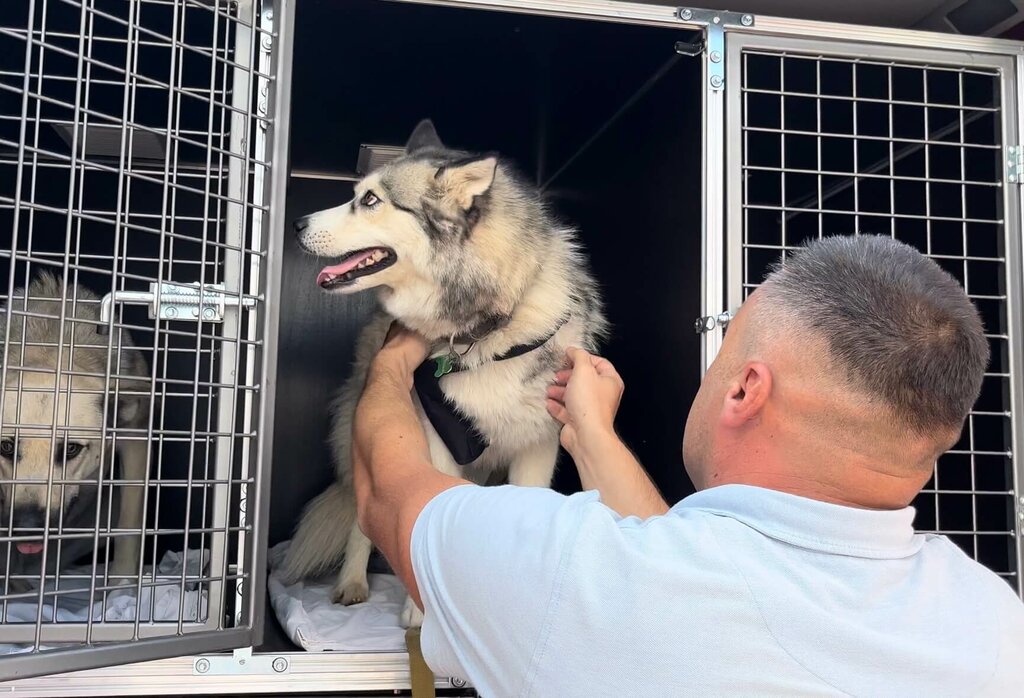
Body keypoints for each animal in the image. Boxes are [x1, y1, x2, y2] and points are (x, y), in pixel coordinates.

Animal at [0, 272, 150, 585]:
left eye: (71, 449)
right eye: (6, 447)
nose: (27, 529)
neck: (51, 349)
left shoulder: (136, 438)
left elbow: (129, 527)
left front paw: (122, 587)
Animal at [282, 119, 606, 626]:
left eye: (370, 200)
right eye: (356, 194)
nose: (296, 224)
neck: (485, 330)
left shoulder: (538, 444)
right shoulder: (435, 441)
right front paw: (422, 617)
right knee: (361, 521)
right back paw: (352, 584)